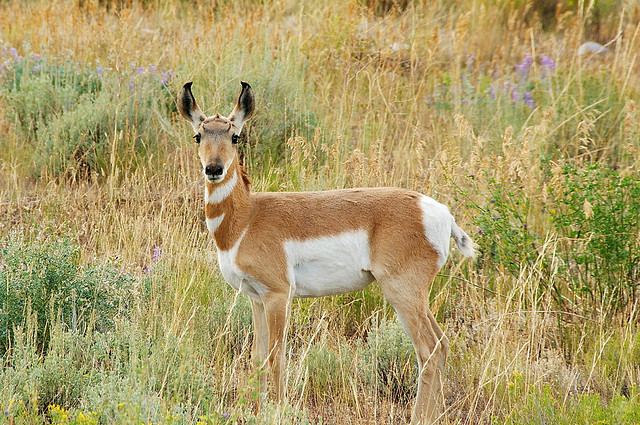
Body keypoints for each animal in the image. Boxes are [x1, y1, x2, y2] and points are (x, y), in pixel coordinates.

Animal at [177, 81, 475, 424]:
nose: (213, 169)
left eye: (234, 135)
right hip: (415, 298)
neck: (248, 217)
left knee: (429, 349)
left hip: (402, 293)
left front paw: (278, 410)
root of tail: (437, 211)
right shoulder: (255, 297)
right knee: (442, 343)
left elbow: (276, 356)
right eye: (198, 135)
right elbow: (256, 357)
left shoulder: (278, 296)